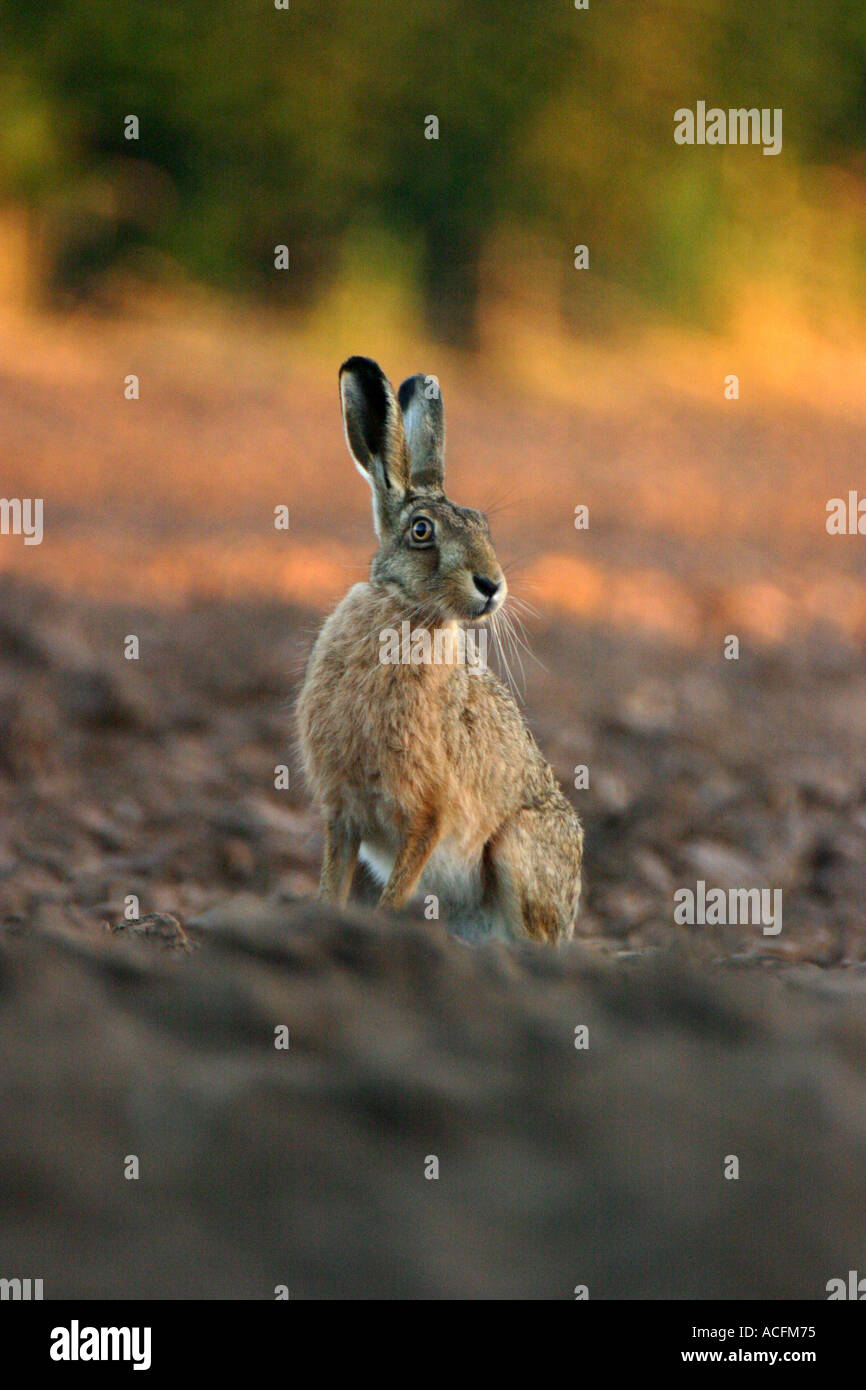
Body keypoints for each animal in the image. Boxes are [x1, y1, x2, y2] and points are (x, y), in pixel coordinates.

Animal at [296, 356, 583, 943]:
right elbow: (333, 886)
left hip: (518, 849)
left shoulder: (430, 814)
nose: (492, 585)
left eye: (484, 527)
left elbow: (395, 893)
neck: (407, 614)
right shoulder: (343, 813)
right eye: (422, 531)